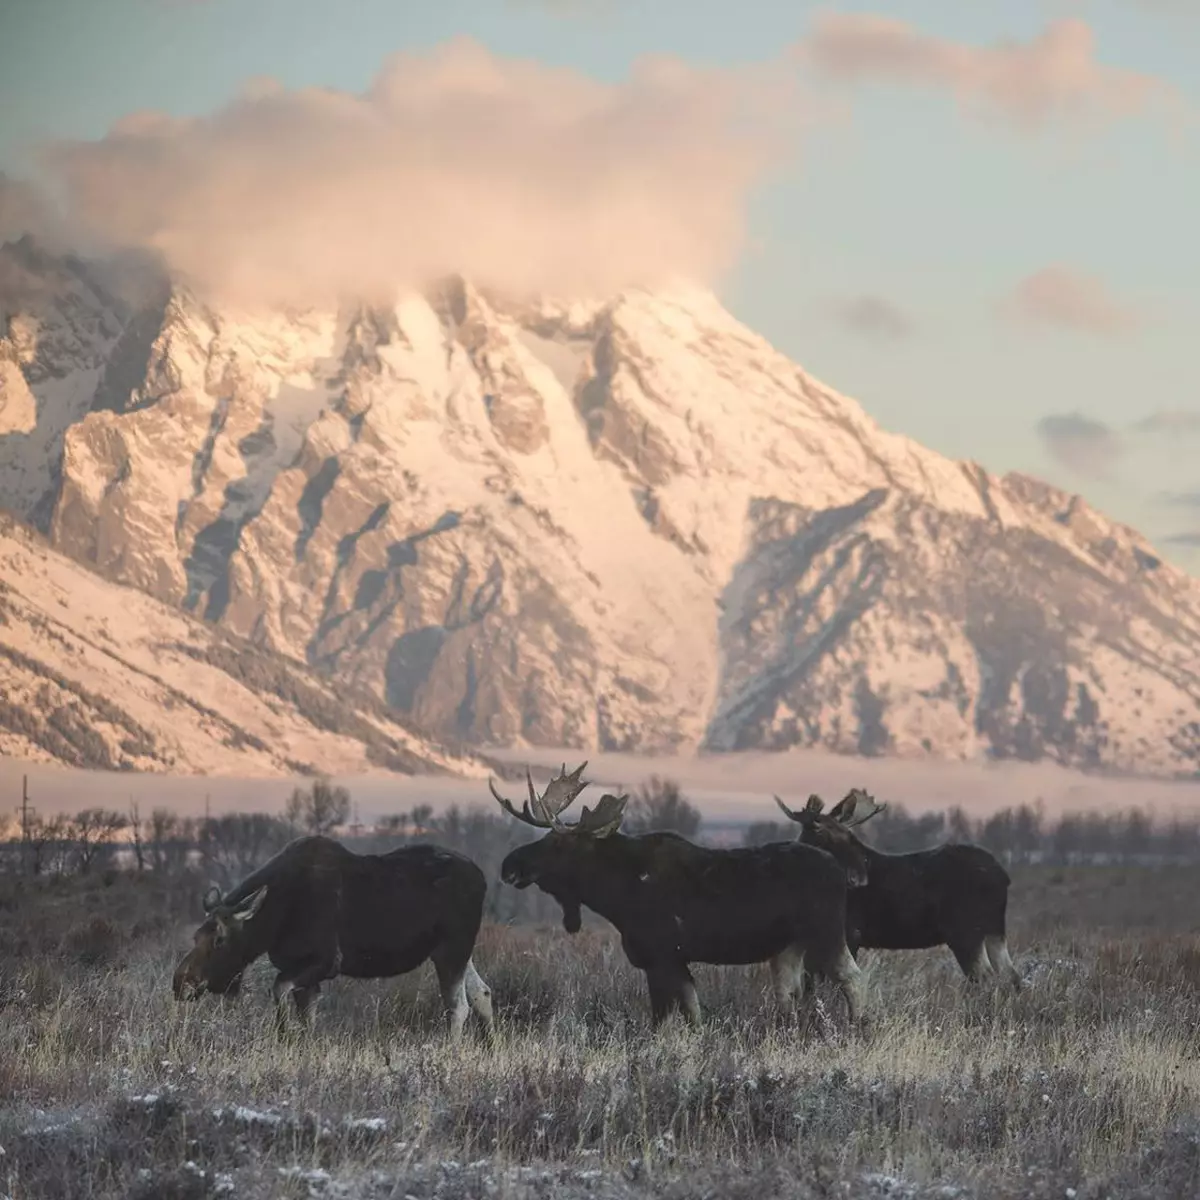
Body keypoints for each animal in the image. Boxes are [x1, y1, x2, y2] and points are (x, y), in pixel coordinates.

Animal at [171, 835, 494, 1041]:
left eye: (220, 939)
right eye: (196, 935)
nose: (181, 983)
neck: (275, 919)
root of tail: (483, 879)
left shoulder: (326, 961)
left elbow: (278, 990)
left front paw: (283, 1037)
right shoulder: (306, 975)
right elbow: (306, 1020)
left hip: (452, 948)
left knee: (458, 1007)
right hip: (457, 951)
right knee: (483, 993)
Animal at [492, 763, 868, 1027]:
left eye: (557, 843)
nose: (509, 864)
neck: (614, 893)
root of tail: (841, 872)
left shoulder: (662, 957)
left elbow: (664, 1020)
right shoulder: (672, 961)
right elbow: (694, 1015)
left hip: (825, 932)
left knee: (853, 977)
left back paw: (857, 1026)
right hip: (789, 946)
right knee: (790, 993)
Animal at [768, 782, 1022, 988]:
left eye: (848, 834)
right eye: (817, 828)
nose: (858, 876)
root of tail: (1003, 876)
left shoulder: (849, 931)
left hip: (966, 929)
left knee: (987, 978)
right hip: (994, 929)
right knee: (1011, 976)